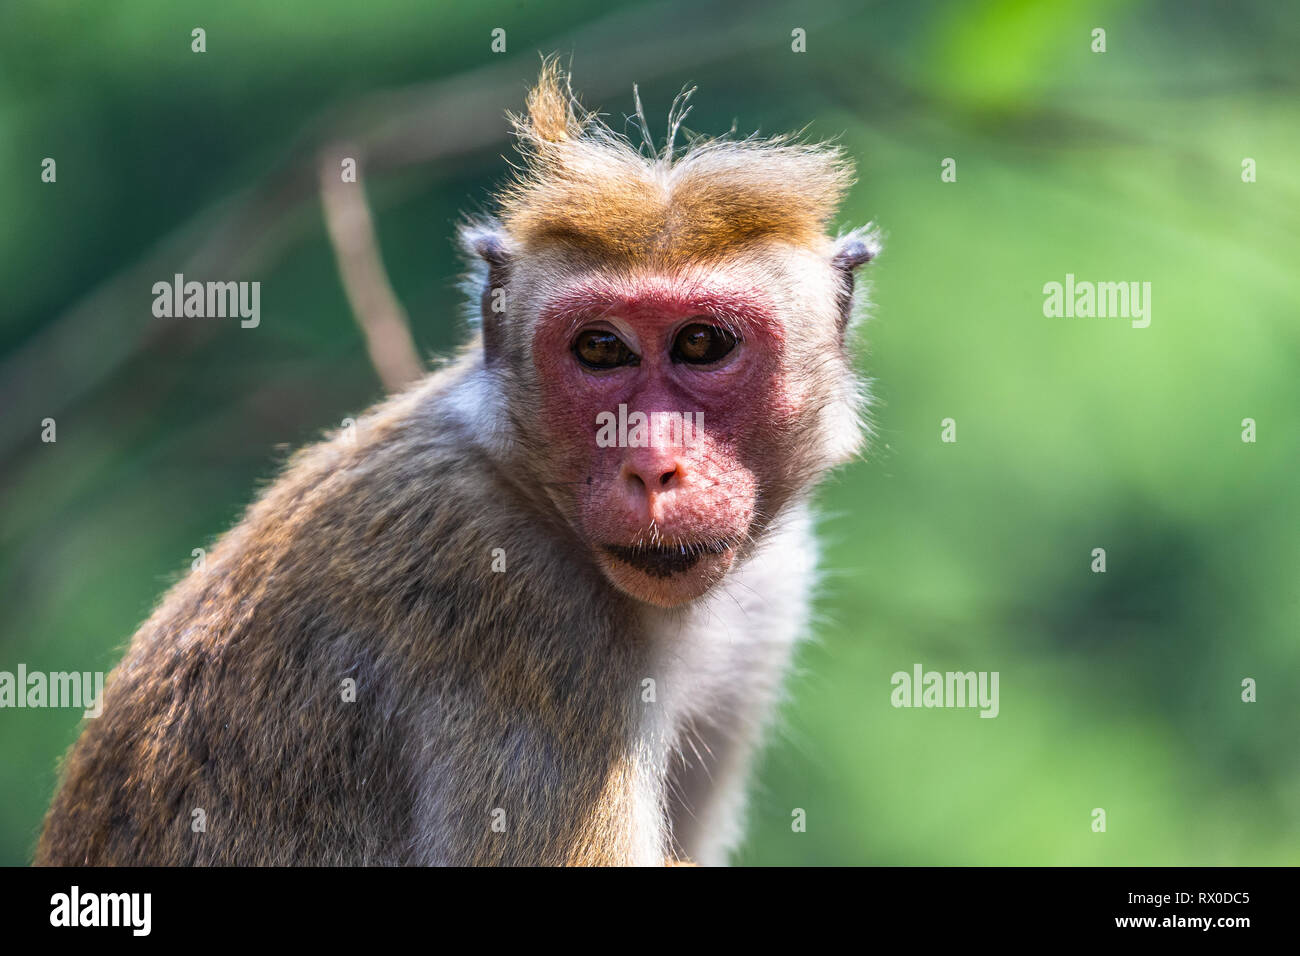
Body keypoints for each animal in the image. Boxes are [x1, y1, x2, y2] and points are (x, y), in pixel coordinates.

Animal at [35, 61, 879, 867]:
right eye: (601, 349)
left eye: (702, 343)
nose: (653, 466)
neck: (531, 491)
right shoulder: (517, 607)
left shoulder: (771, 593)